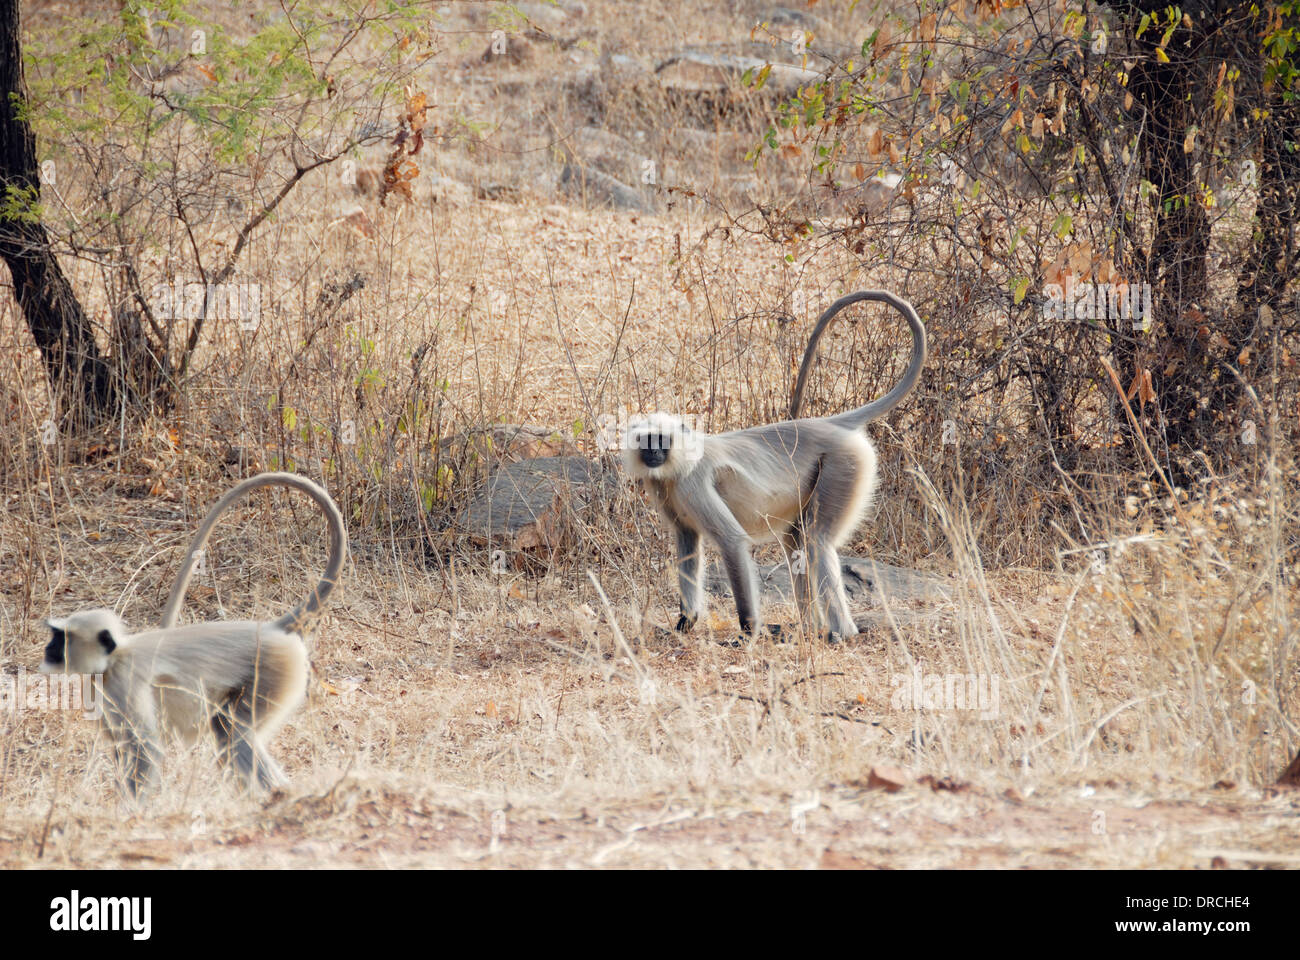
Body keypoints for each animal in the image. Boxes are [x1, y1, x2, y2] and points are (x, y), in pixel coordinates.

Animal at [40, 472, 346, 799]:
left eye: (61, 638)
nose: (48, 649)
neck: (116, 655)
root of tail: (270, 628)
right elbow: (123, 747)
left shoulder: (122, 682)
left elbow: (145, 750)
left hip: (274, 671)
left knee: (230, 731)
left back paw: (278, 797)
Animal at [622, 290, 925, 643]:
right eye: (647, 441)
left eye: (661, 440)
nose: (654, 454)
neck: (678, 461)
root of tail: (830, 424)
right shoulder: (660, 484)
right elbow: (687, 543)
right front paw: (687, 621)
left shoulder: (690, 481)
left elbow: (732, 541)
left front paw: (749, 631)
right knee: (797, 540)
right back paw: (811, 629)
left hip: (845, 463)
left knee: (815, 540)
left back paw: (841, 633)